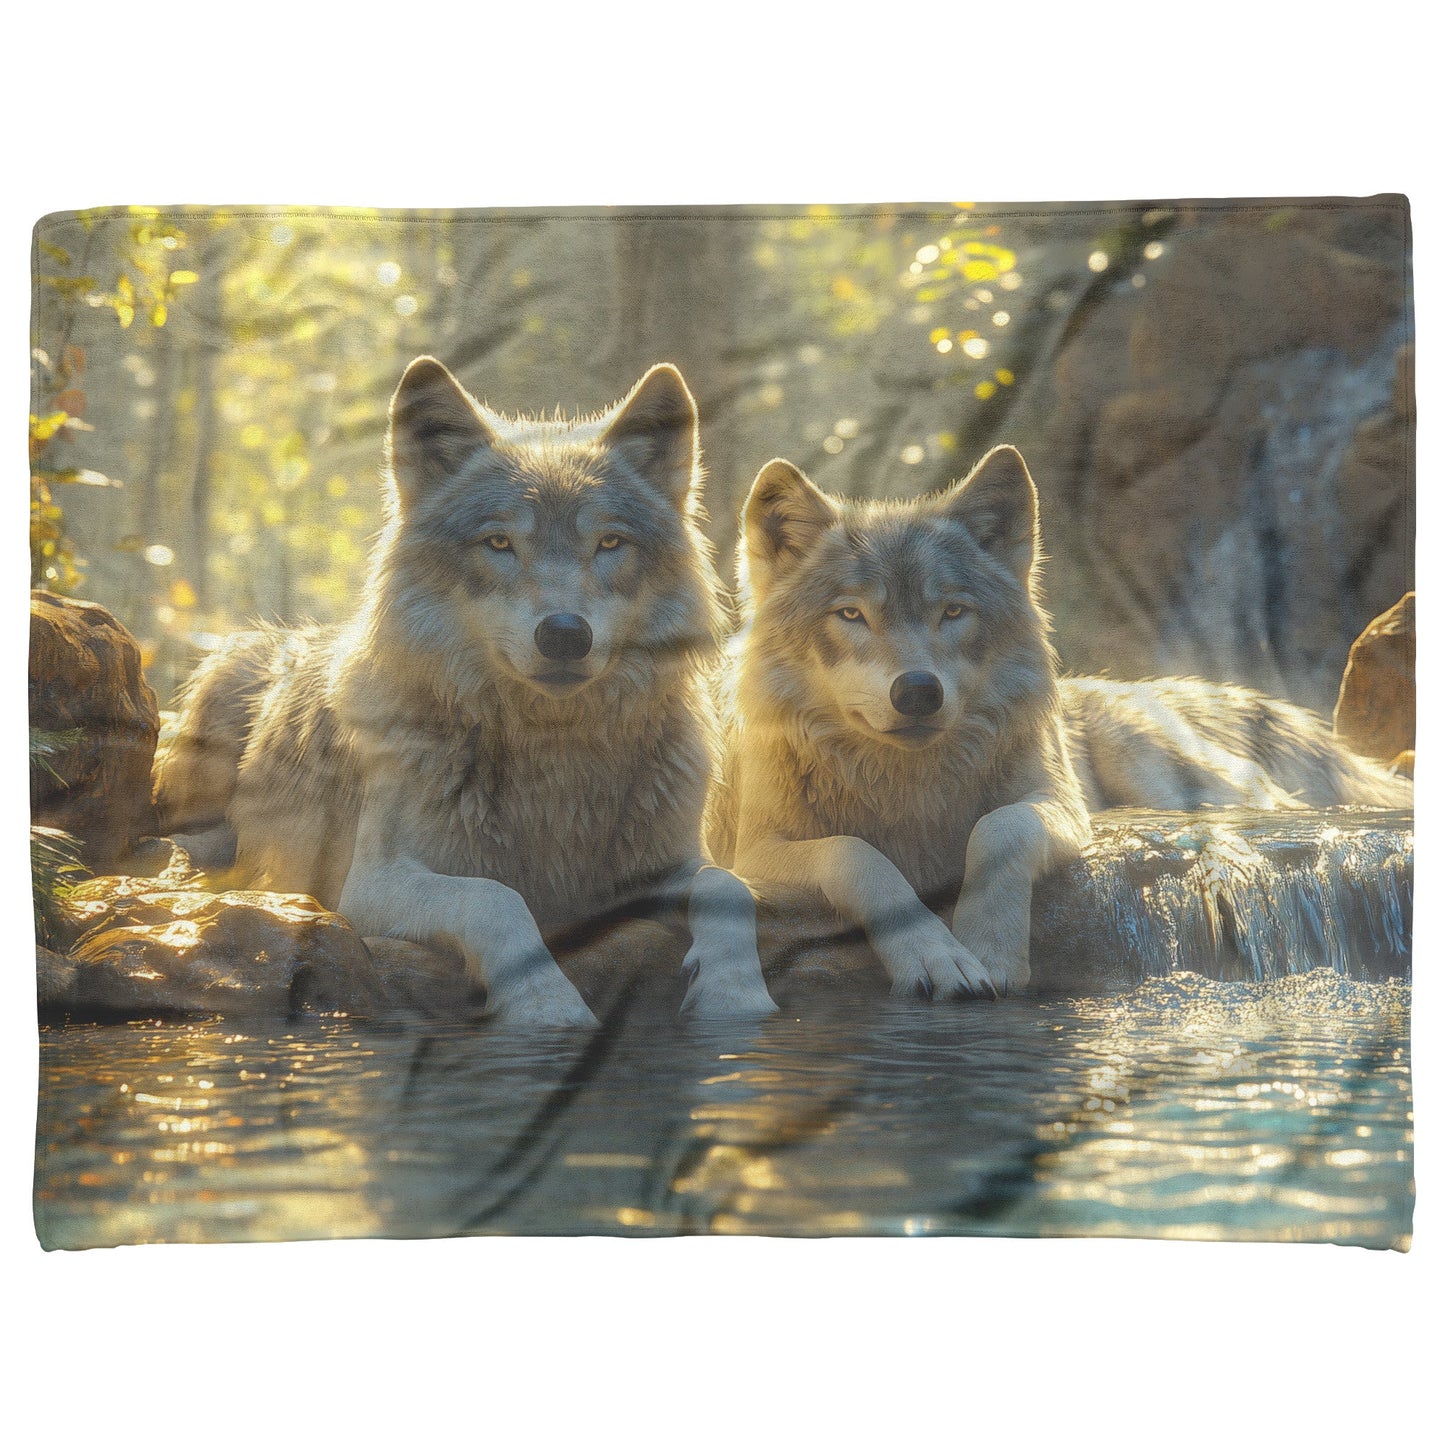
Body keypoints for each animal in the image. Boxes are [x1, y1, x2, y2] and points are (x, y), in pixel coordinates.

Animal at [155, 357, 777, 1027]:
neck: (553, 764)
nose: (565, 634)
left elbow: (729, 889)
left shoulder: (665, 867)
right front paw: (547, 1005)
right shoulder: (370, 884)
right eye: (499, 543)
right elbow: (494, 899)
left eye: (609, 543)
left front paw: (737, 995)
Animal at [708, 445, 1410, 999]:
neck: (909, 789)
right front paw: (936, 957)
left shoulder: (1057, 806)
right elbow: (858, 856)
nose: (918, 692)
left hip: (1161, 771)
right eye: (851, 615)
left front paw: (988, 949)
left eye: (952, 612)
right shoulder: (755, 853)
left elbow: (999, 831)